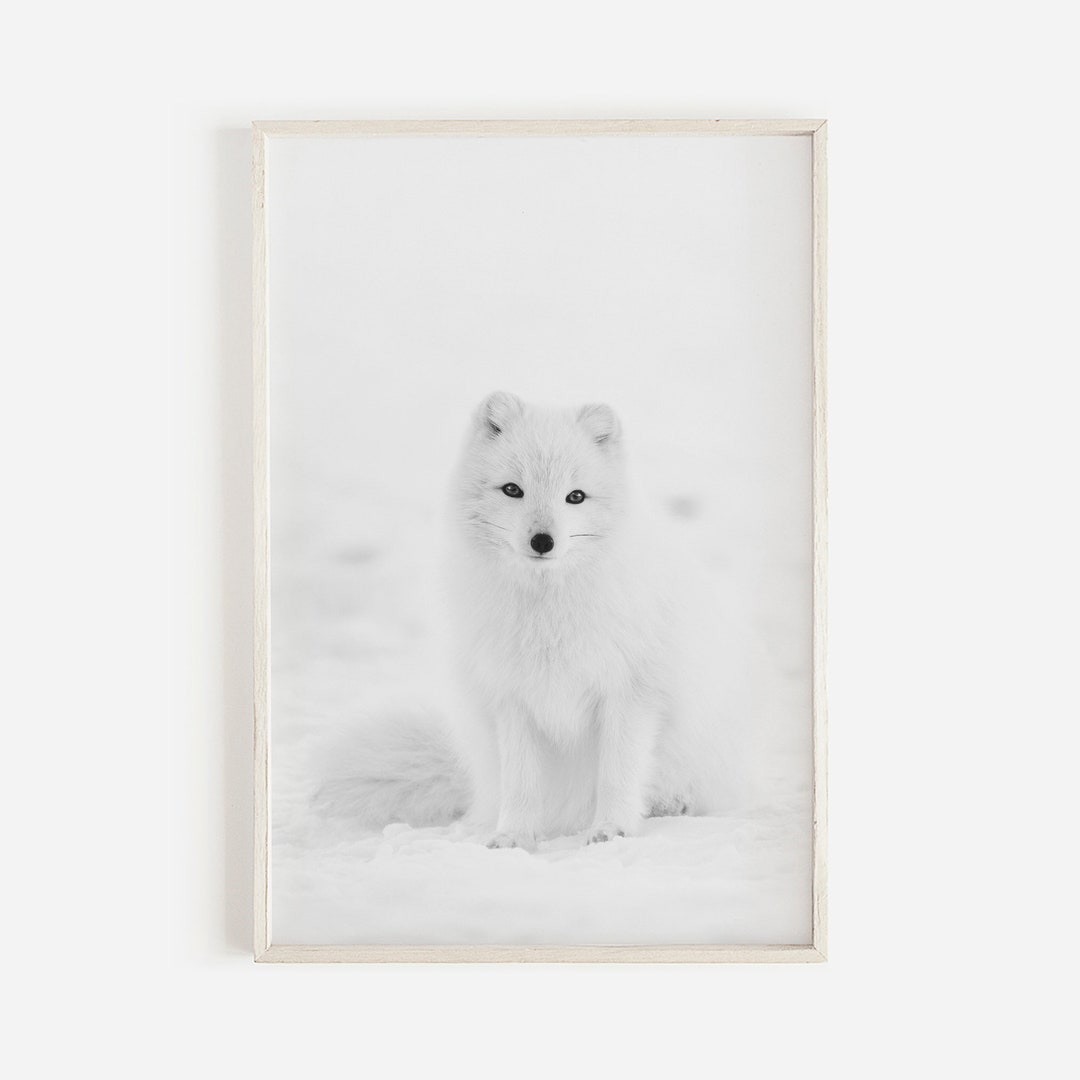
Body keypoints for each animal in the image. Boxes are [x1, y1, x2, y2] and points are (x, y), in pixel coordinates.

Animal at [314, 391, 741, 849]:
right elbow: (521, 782)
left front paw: (612, 829)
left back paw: (670, 804)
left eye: (576, 496)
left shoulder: (631, 693)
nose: (542, 541)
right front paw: (514, 837)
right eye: (512, 490)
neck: (547, 612)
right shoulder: (512, 699)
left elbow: (617, 774)